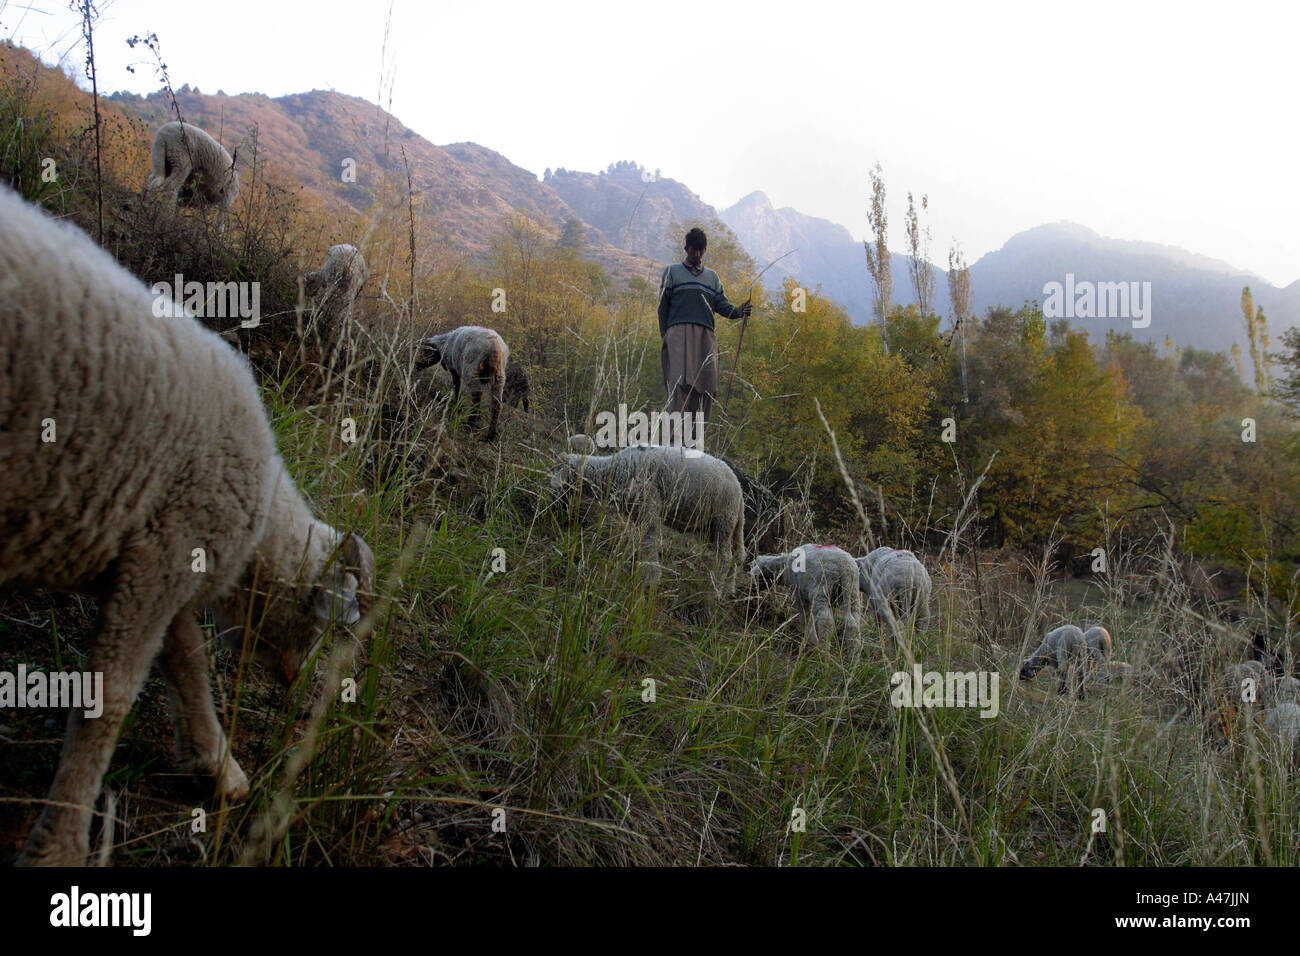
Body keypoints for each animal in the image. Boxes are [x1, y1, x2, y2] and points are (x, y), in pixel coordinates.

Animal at [0, 185, 375, 865]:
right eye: (321, 626)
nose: (295, 688)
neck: (258, 530)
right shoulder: (163, 554)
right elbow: (110, 698)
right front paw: (61, 842)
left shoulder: (161, 556)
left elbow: (187, 660)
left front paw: (216, 765)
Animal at [549, 444, 744, 597]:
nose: (552, 508)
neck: (612, 472)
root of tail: (739, 490)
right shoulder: (637, 513)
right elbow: (642, 541)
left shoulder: (648, 504)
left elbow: (649, 542)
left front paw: (650, 578)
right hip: (724, 525)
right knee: (735, 557)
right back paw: (728, 589)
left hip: (723, 520)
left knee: (725, 557)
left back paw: (715, 589)